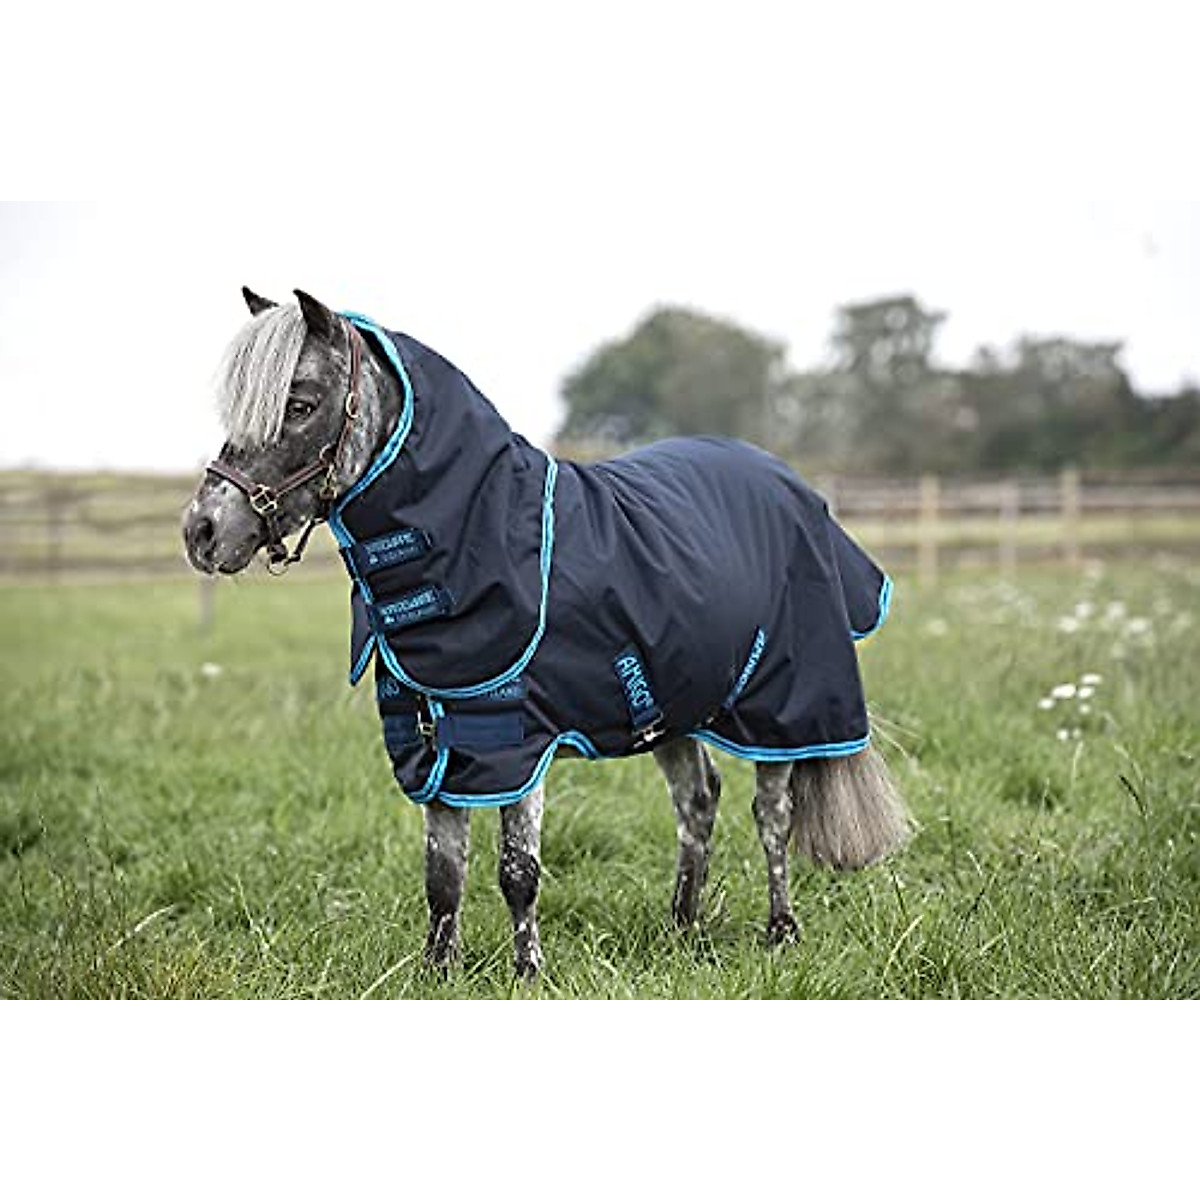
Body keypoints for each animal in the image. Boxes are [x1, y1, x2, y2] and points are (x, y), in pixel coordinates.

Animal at [183, 287, 909, 979]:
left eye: (301, 404)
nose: (202, 531)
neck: (480, 532)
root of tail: (789, 482)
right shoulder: (436, 741)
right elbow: (442, 875)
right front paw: (438, 972)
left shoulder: (517, 741)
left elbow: (517, 871)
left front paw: (528, 972)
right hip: (670, 703)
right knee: (698, 803)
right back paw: (682, 929)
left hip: (782, 707)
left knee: (772, 815)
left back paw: (780, 931)